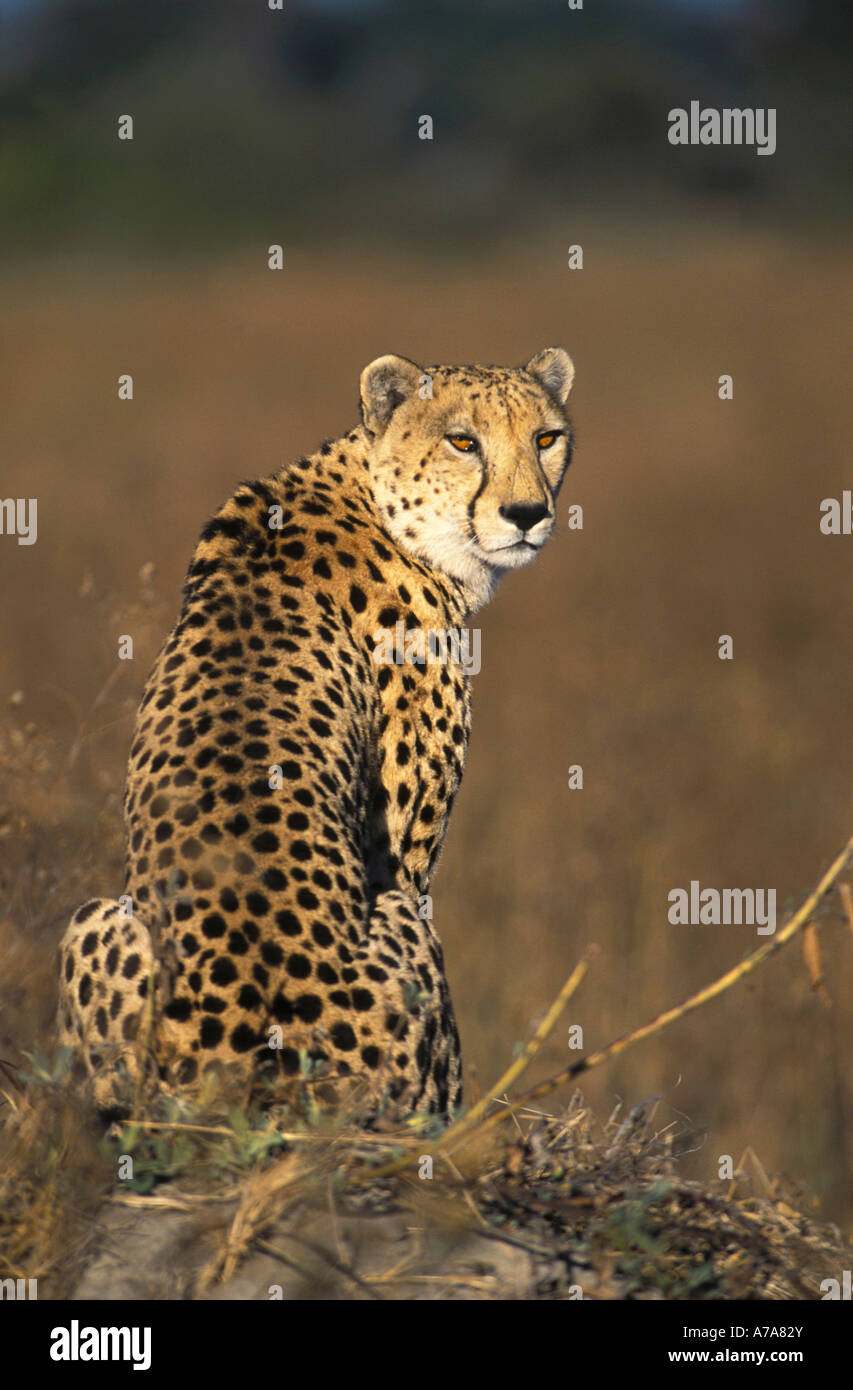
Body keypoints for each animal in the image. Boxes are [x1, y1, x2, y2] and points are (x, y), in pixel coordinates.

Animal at [57, 346, 576, 1121]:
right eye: (463, 441)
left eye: (546, 438)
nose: (527, 514)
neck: (378, 499)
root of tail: (245, 1080)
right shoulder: (402, 861)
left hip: (100, 925)